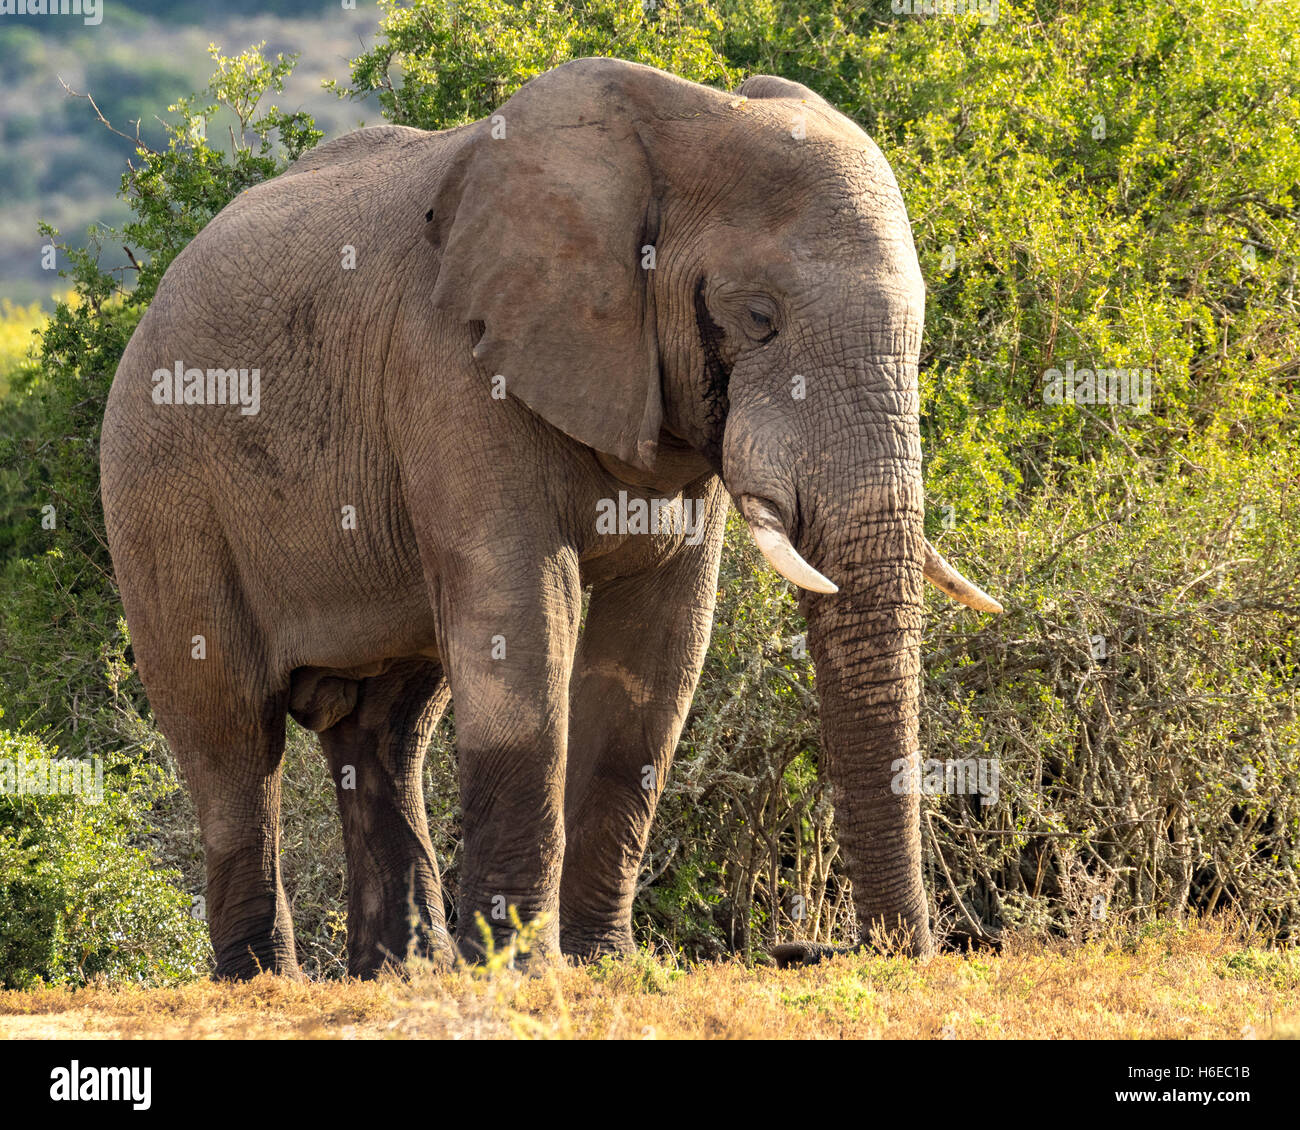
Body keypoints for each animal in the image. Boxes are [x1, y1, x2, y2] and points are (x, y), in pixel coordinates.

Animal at [100, 57, 1002, 980]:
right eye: (759, 317)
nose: (880, 952)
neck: (678, 127)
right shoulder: (454, 363)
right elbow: (524, 629)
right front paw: (517, 972)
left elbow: (656, 662)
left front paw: (604, 964)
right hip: (158, 484)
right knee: (230, 732)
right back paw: (266, 976)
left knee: (385, 734)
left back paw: (400, 970)